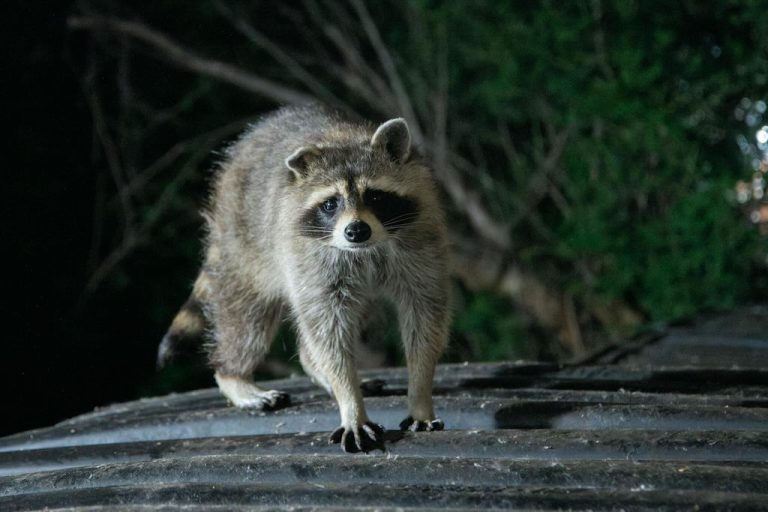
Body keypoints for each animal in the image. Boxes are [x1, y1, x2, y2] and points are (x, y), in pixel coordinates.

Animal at [158, 105, 451, 453]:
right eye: (330, 204)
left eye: (376, 197)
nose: (356, 231)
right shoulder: (311, 257)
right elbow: (327, 330)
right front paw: (350, 404)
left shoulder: (421, 239)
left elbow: (425, 315)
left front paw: (419, 395)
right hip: (244, 237)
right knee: (248, 319)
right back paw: (234, 375)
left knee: (361, 317)